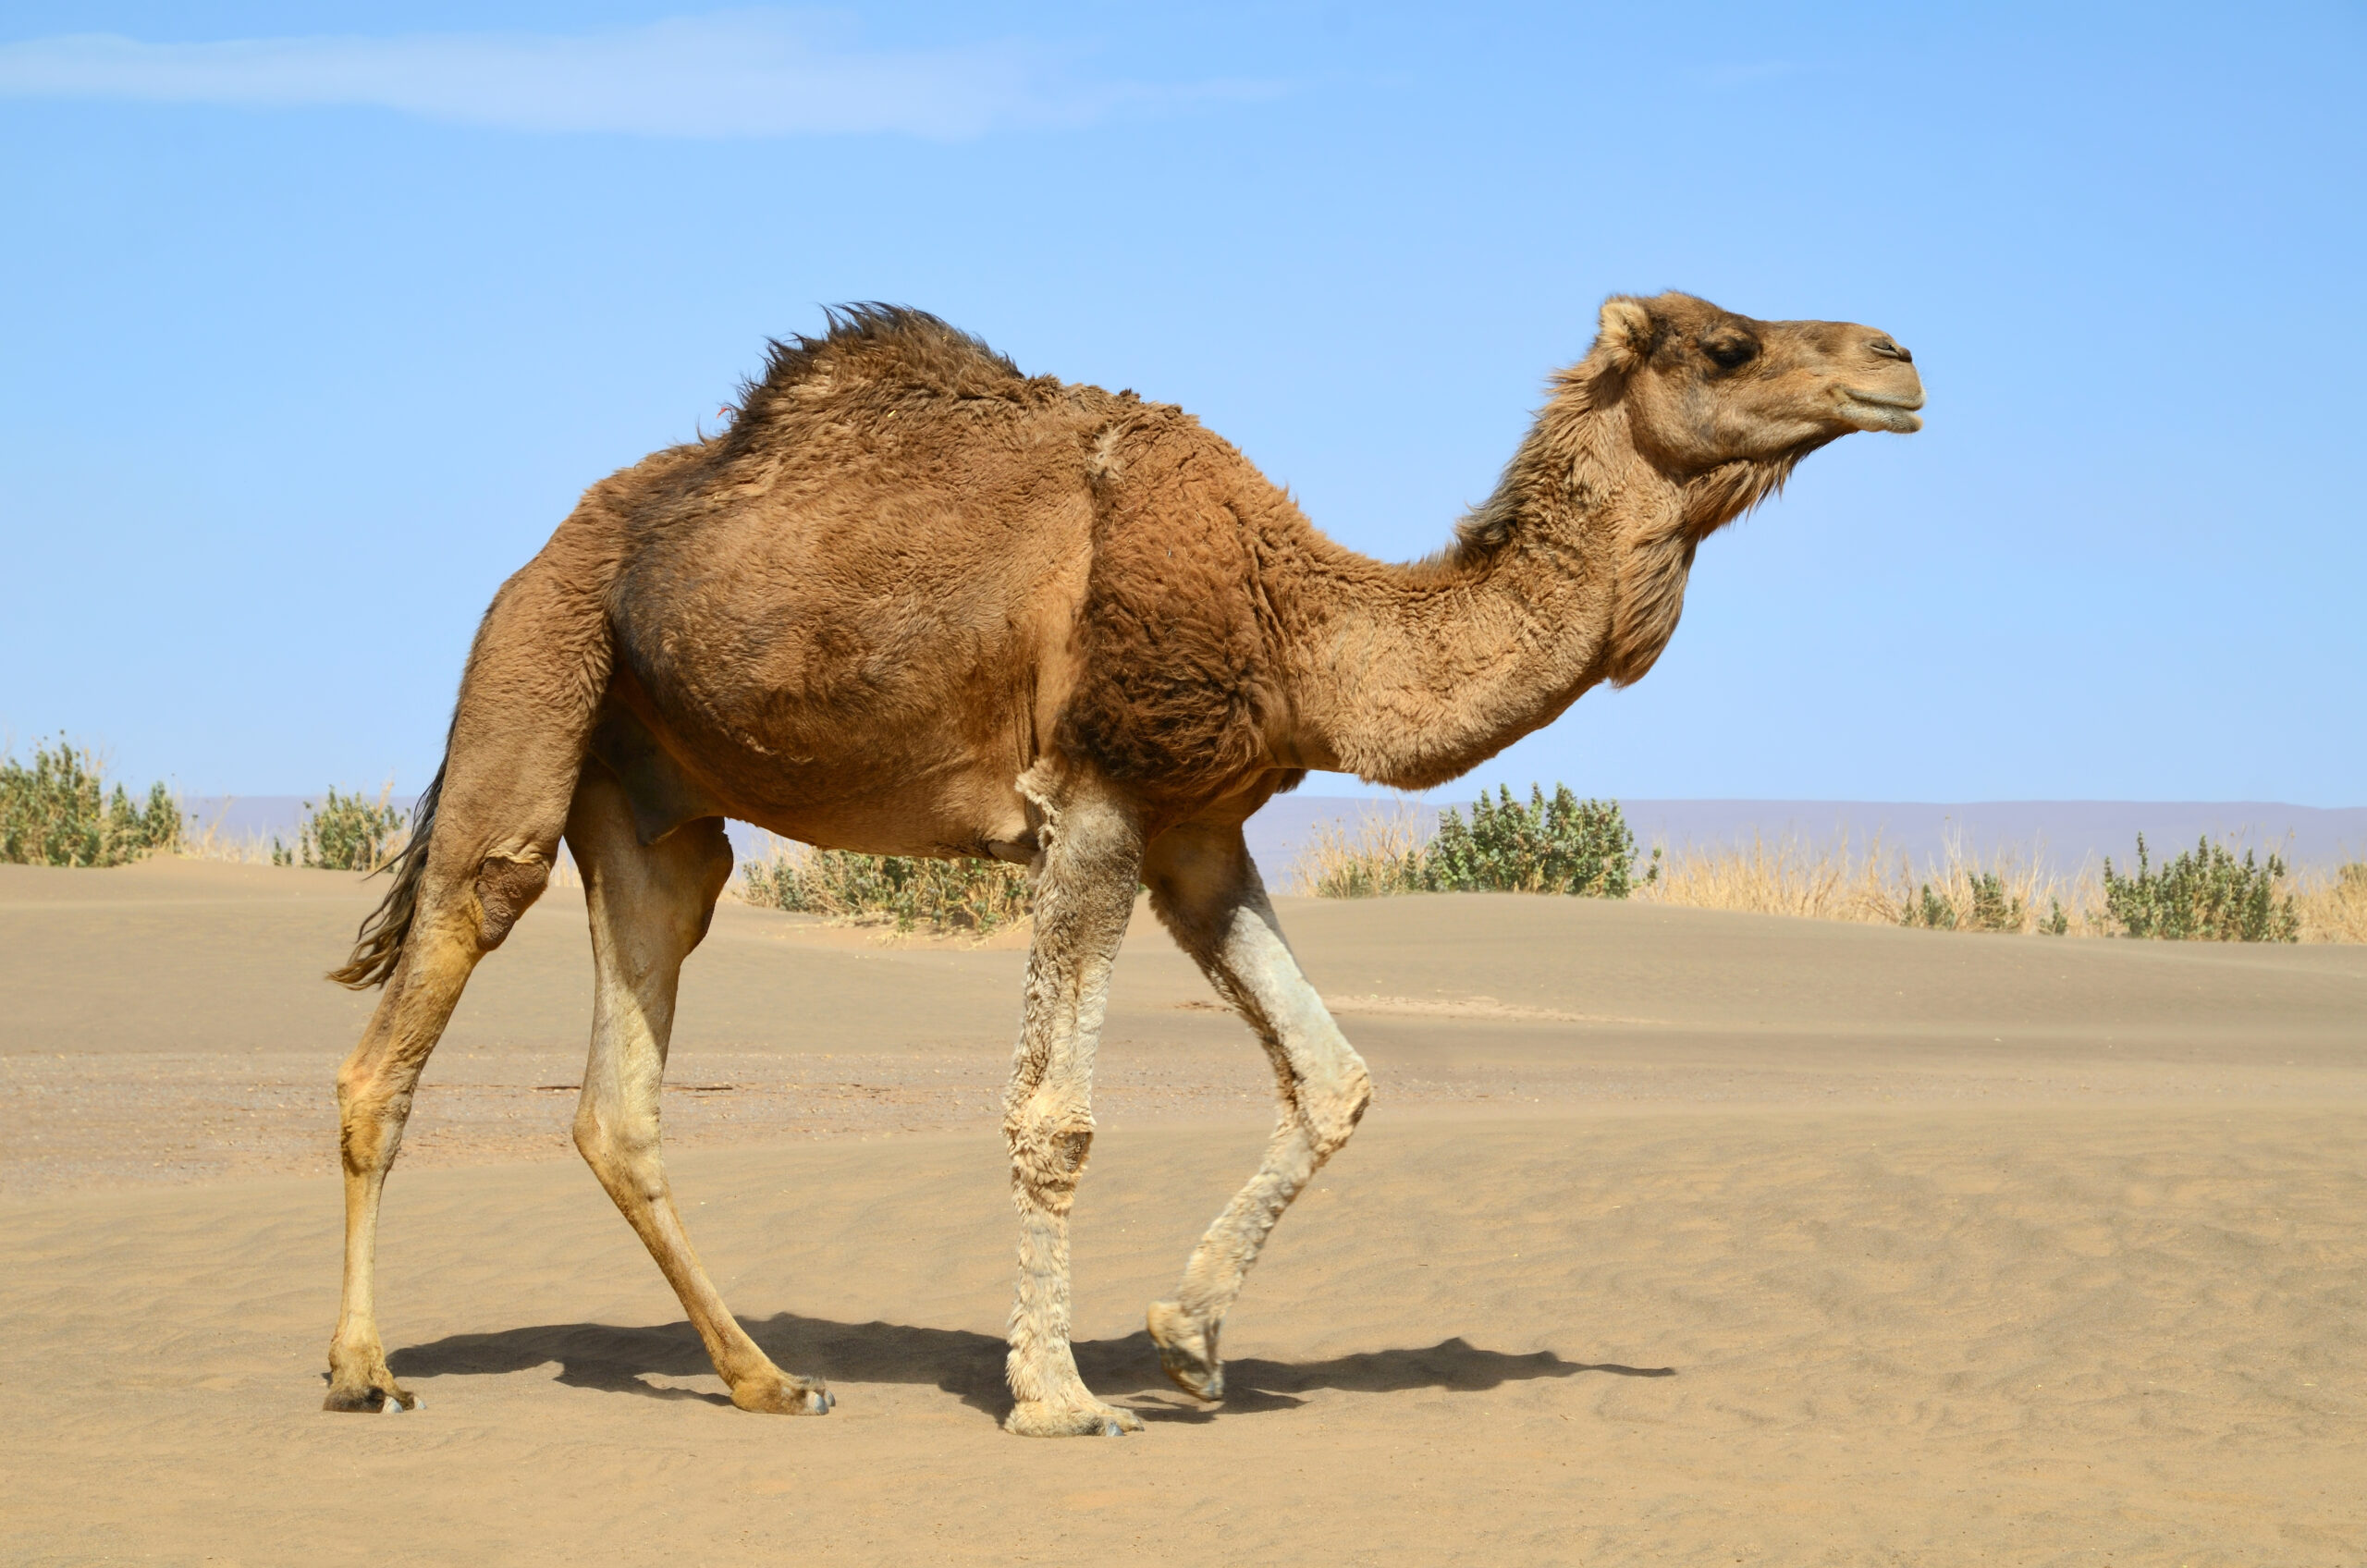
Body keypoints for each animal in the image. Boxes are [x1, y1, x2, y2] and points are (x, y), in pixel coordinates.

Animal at [321, 293, 1923, 1435]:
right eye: (1729, 342)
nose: (1899, 362)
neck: (1304, 627)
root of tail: (546, 551)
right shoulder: (1091, 801)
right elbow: (1056, 1120)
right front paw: (1058, 1397)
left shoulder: (1198, 828)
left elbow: (1334, 1079)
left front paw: (1190, 1345)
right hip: (532, 683)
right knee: (409, 1015)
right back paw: (365, 1373)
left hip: (659, 811)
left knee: (622, 1096)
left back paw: (770, 1381)